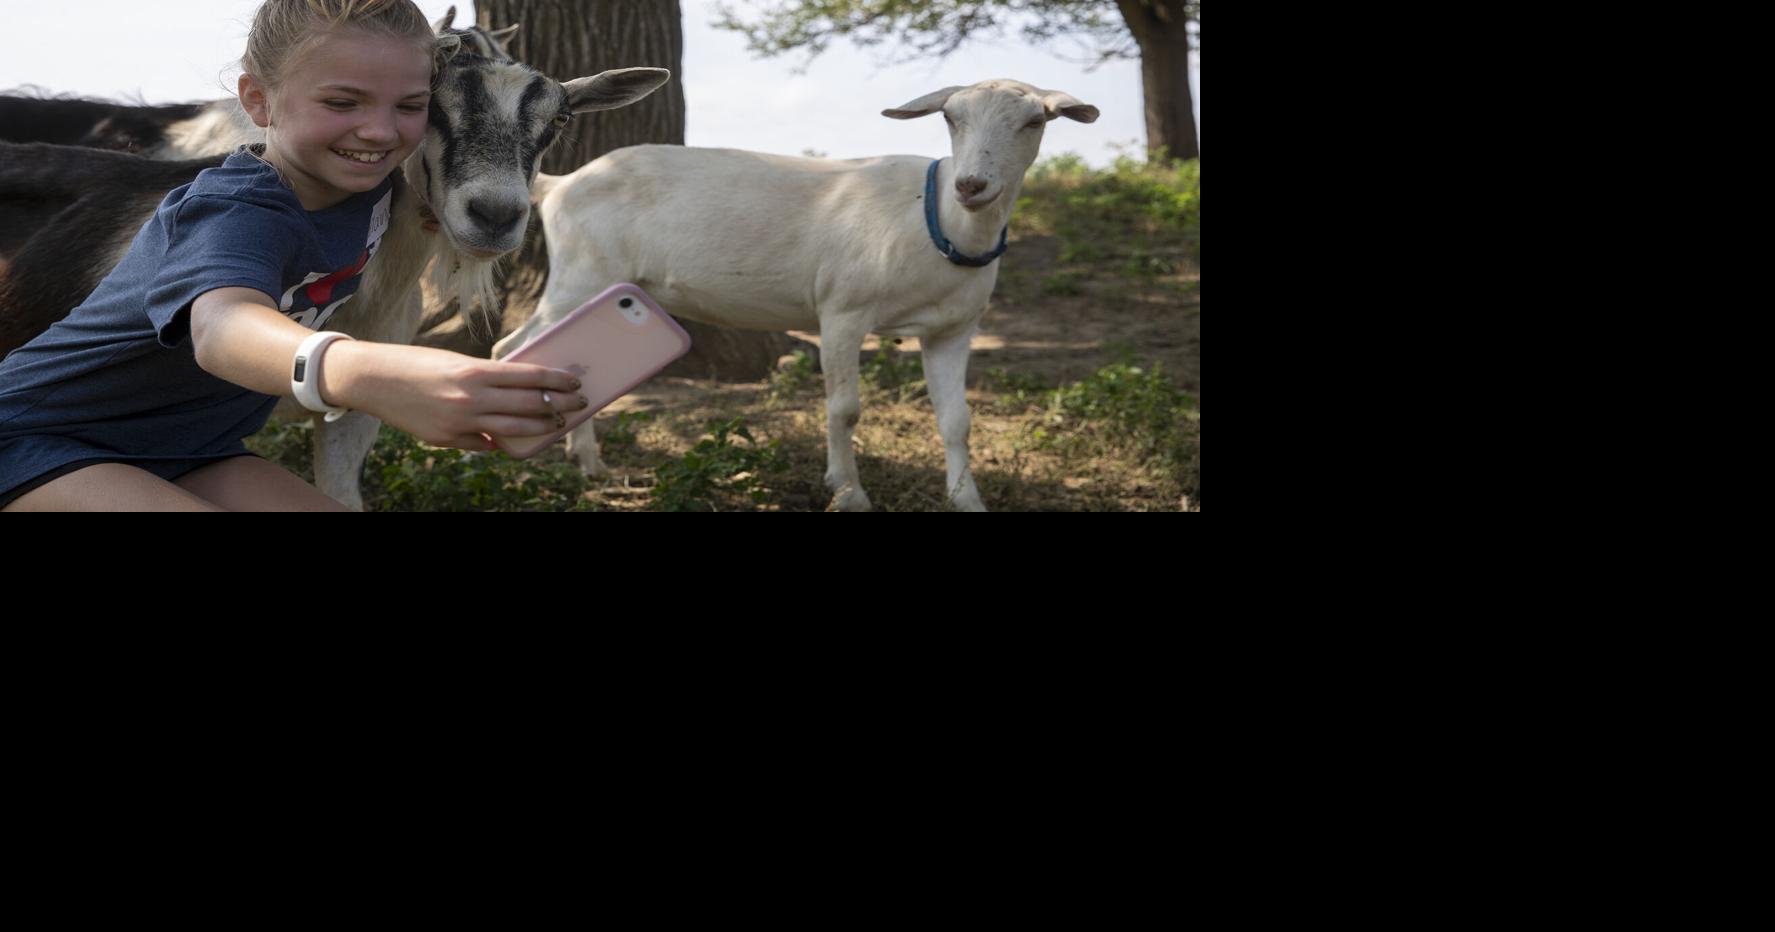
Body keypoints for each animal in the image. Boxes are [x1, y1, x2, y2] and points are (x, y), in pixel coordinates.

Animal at [496, 79, 1098, 512]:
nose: (972, 184)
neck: (939, 224)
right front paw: (850, 493)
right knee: (512, 348)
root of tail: (561, 185)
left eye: (1034, 121)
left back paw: (588, 463)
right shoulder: (843, 309)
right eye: (951, 117)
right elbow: (845, 410)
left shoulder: (954, 329)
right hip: (582, 274)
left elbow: (957, 420)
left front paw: (968, 499)